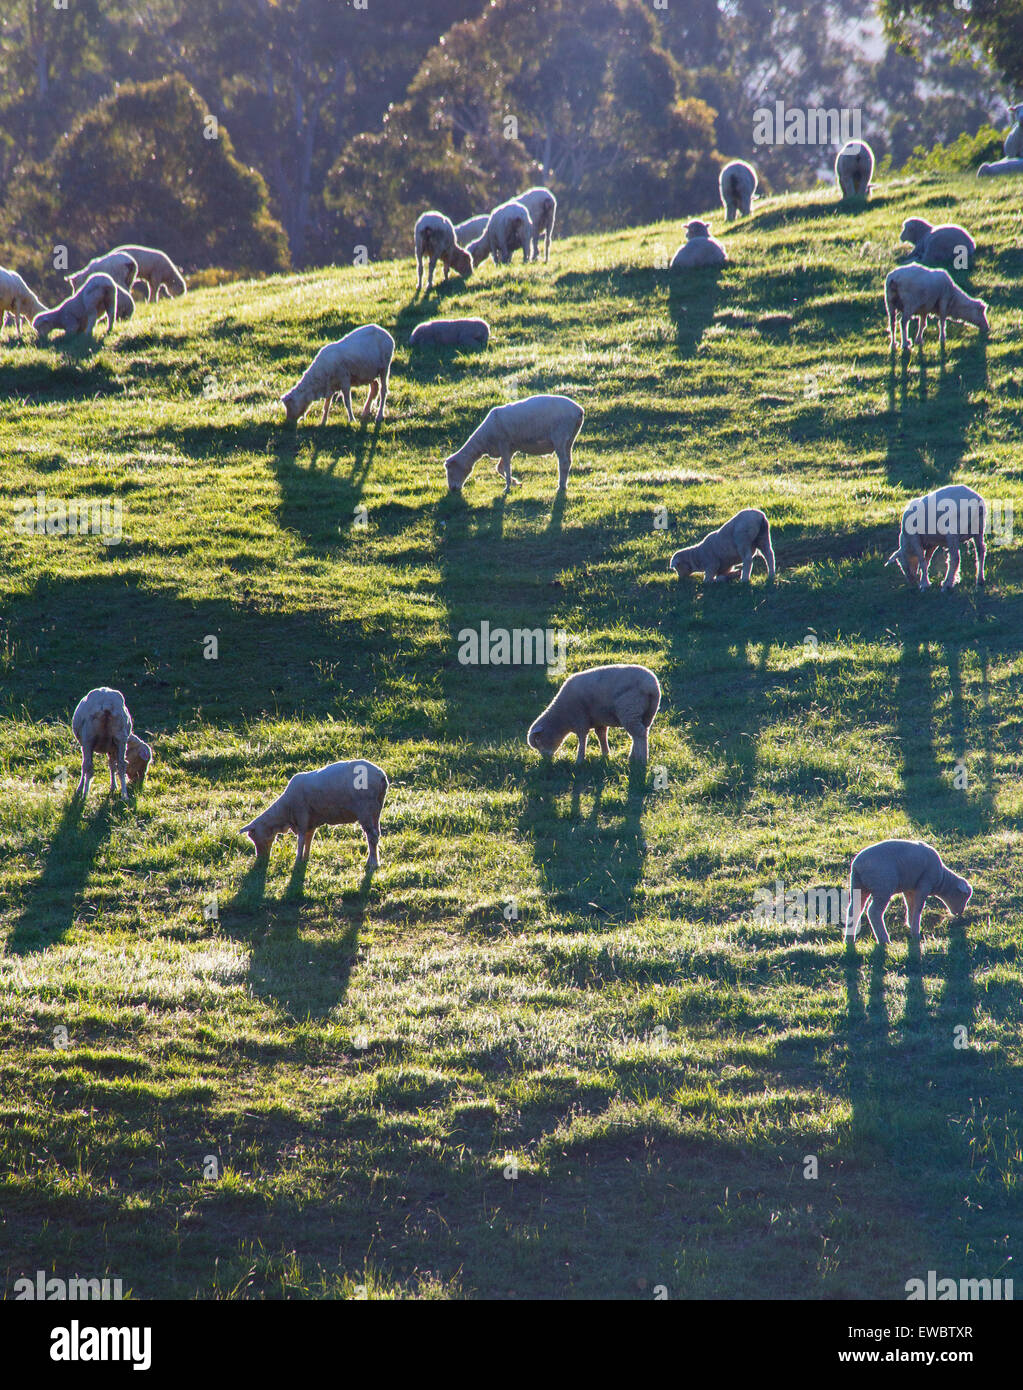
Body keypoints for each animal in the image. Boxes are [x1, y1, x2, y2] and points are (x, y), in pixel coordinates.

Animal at [241, 759, 388, 869]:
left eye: (253, 836)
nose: (260, 859)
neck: (285, 811)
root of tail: (381, 776)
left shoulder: (302, 816)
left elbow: (300, 840)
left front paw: (297, 860)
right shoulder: (311, 822)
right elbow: (308, 839)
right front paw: (305, 858)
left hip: (365, 809)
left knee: (372, 836)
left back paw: (373, 864)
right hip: (376, 810)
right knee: (376, 834)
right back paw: (373, 861)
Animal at [444, 394, 584, 494]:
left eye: (449, 470)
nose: (452, 489)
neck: (483, 441)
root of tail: (579, 410)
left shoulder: (504, 444)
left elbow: (506, 467)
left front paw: (507, 488)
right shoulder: (511, 449)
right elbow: (499, 468)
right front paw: (516, 483)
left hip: (560, 436)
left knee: (563, 462)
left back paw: (561, 487)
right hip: (570, 439)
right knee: (568, 461)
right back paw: (563, 484)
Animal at [527, 665, 661, 765]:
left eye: (538, 741)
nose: (546, 761)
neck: (562, 717)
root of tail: (652, 686)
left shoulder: (580, 719)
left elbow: (582, 739)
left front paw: (579, 760)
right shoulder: (598, 720)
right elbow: (601, 735)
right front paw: (605, 754)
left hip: (630, 710)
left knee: (639, 734)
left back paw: (642, 760)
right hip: (648, 713)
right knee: (642, 733)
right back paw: (634, 757)